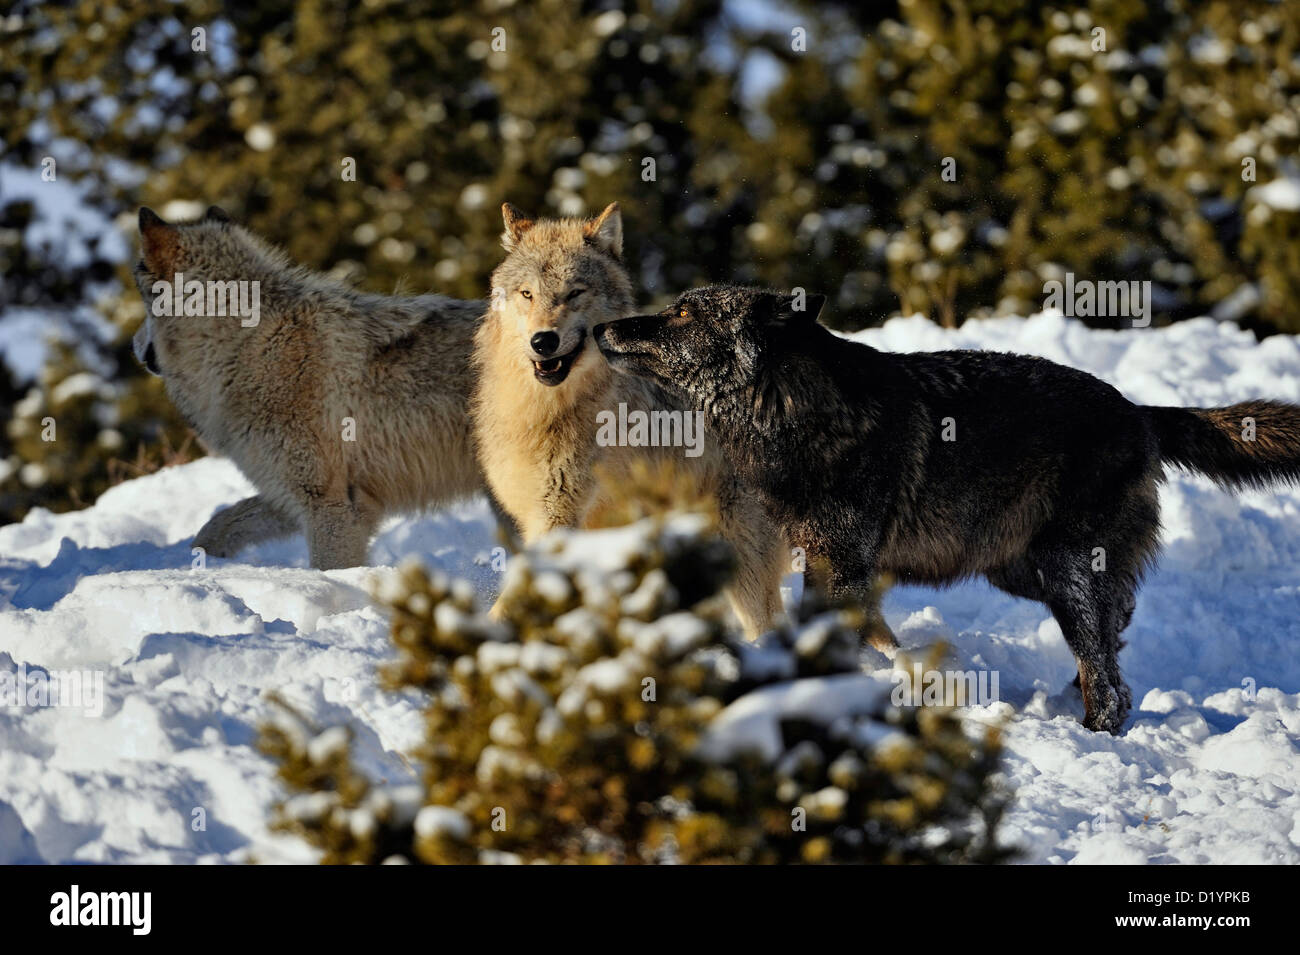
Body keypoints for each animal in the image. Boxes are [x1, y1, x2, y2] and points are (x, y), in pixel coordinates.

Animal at [132, 206, 492, 569]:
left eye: (143, 303)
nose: (132, 344)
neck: (247, 344)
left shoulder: (331, 504)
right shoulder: (288, 492)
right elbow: (221, 521)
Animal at [594, 285, 1300, 733]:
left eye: (684, 313)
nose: (601, 329)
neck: (791, 411)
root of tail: (1139, 411)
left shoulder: (844, 566)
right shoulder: (828, 562)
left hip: (1064, 572)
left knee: (1107, 675)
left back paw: (1095, 727)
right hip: (1021, 572)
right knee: (1115, 634)